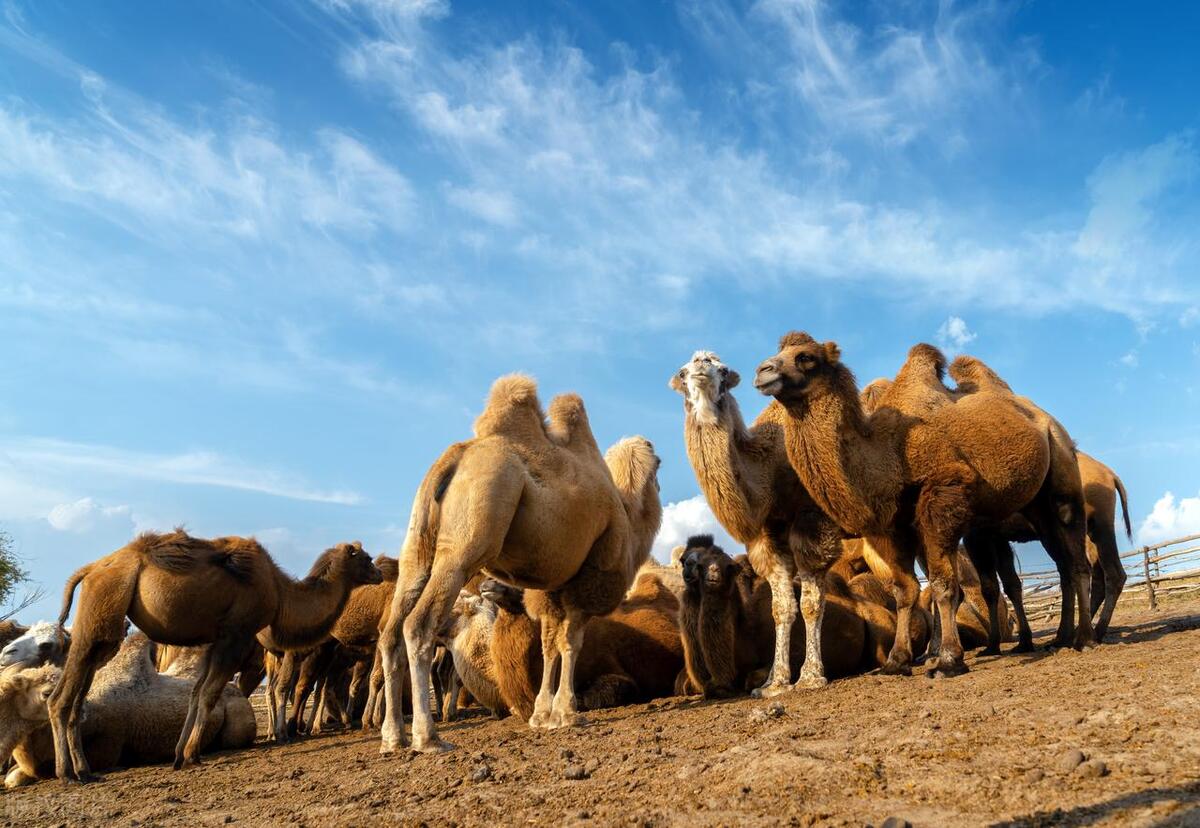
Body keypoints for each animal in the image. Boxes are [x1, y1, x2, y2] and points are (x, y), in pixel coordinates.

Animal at [50, 530, 381, 781]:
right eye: (366, 559)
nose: (379, 573)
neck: (280, 593)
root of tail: (91, 568)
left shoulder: (214, 641)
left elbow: (196, 692)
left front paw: (178, 755)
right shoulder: (236, 635)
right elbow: (210, 693)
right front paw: (192, 754)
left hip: (106, 627)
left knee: (80, 692)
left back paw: (84, 769)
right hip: (102, 605)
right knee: (61, 696)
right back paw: (67, 773)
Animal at [377, 375, 661, 753]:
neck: (629, 517)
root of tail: (455, 457)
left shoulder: (554, 587)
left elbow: (549, 643)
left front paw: (542, 716)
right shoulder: (587, 577)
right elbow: (571, 643)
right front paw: (568, 714)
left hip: (416, 550)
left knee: (390, 634)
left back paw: (393, 737)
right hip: (465, 544)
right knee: (418, 625)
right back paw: (429, 737)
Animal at [670, 351, 845, 696]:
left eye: (723, 370)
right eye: (683, 373)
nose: (701, 365)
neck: (769, 469)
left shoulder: (814, 520)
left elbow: (811, 602)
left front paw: (811, 677)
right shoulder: (767, 536)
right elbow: (782, 607)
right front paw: (773, 683)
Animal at [754, 334, 1072, 677]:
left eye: (806, 357)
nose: (762, 371)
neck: (887, 453)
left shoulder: (944, 495)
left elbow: (943, 584)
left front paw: (948, 660)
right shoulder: (893, 526)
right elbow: (904, 591)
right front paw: (897, 660)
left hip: (1056, 474)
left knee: (1066, 558)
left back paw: (1069, 637)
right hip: (1022, 510)